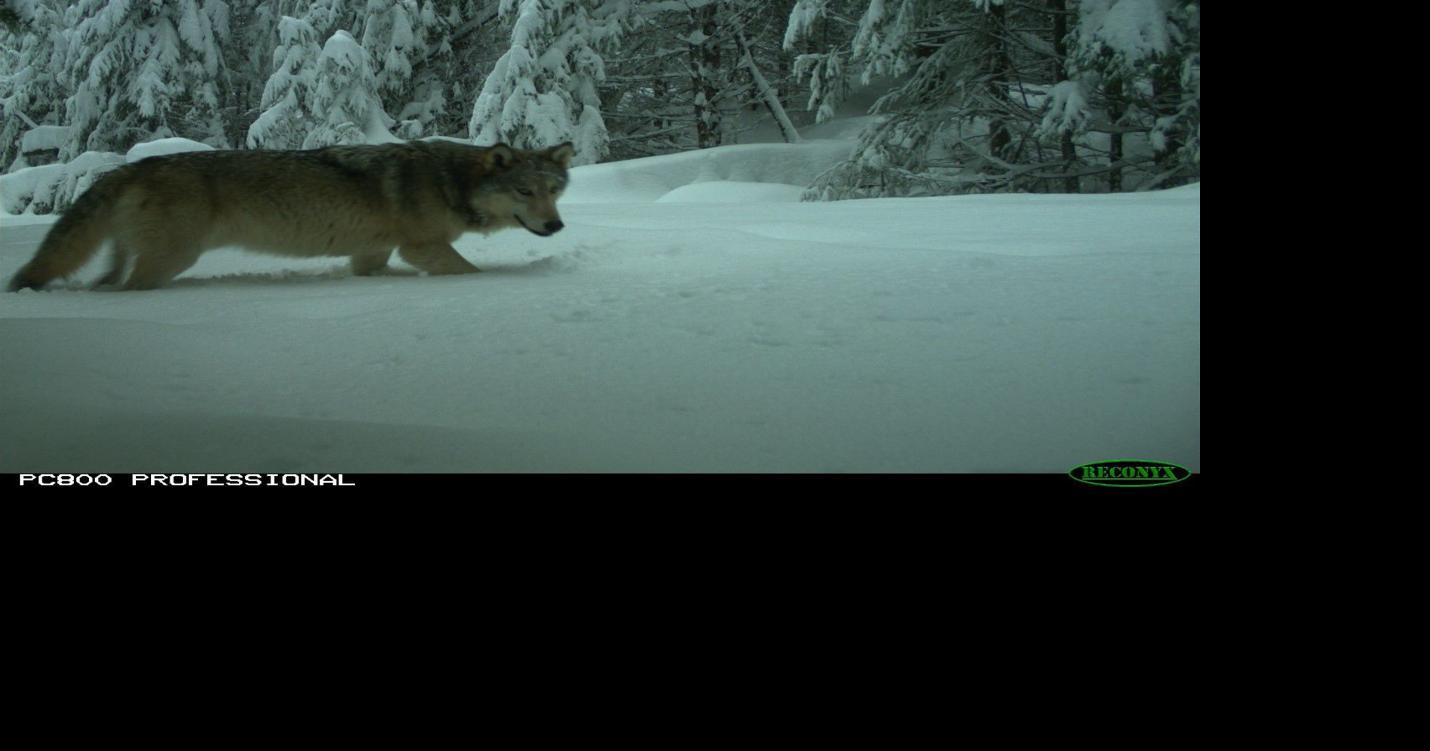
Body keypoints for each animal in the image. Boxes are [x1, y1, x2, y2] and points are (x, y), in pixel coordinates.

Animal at [7, 140, 573, 291]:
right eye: (524, 191)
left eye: (554, 191)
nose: (556, 226)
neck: (448, 179)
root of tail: (133, 165)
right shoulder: (422, 248)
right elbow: (468, 271)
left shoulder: (371, 253)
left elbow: (370, 273)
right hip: (171, 259)